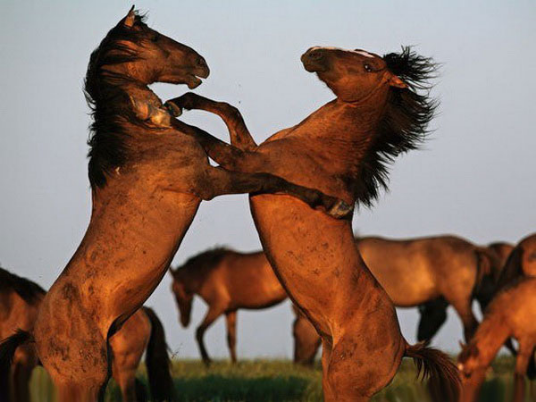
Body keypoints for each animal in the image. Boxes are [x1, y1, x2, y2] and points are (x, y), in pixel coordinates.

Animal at [165, 45, 458, 400]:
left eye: (368, 66)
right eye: (359, 51)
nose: (314, 53)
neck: (319, 150)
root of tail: (404, 346)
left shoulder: (248, 161)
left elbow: (206, 137)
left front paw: (162, 113)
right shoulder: (252, 151)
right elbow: (228, 110)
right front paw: (179, 101)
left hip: (344, 386)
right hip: (330, 375)